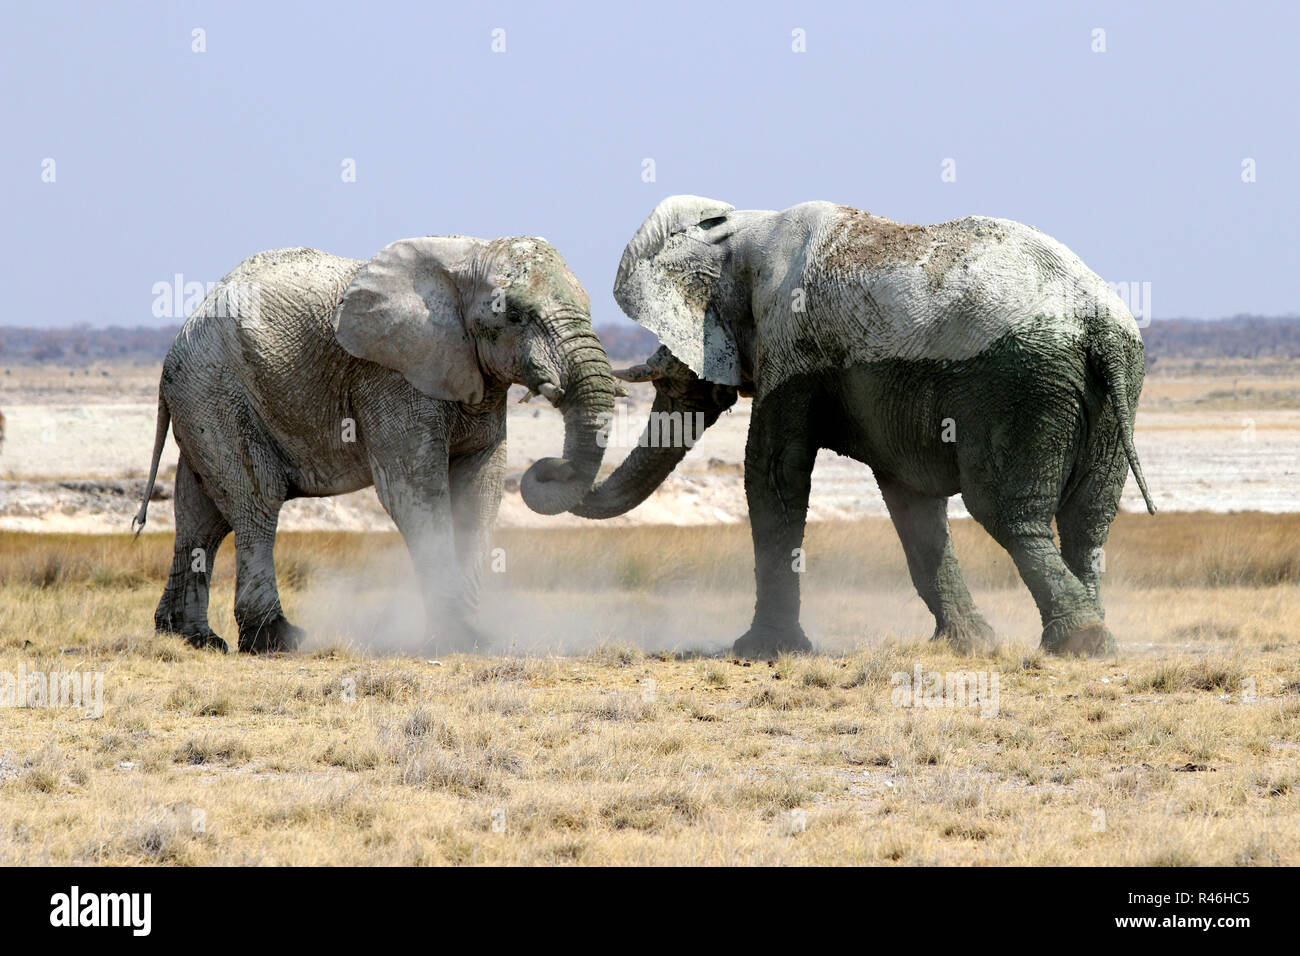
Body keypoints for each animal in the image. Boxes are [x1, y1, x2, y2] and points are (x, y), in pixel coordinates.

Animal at [134, 236, 616, 654]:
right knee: (255, 502)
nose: (549, 465)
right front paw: (455, 635)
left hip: (200, 399)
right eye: (514, 315)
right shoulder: (390, 377)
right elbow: (414, 490)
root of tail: (177, 341)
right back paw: (277, 640)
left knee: (201, 516)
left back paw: (192, 639)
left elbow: (481, 489)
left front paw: (474, 633)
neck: (466, 260)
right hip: (217, 392)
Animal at [569, 196, 1155, 659]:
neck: (745, 229)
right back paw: (1091, 637)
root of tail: (1099, 324)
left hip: (1022, 384)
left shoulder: (790, 343)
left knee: (1008, 513)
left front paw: (763, 651)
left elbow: (772, 474)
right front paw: (967, 645)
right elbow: (911, 502)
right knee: (1088, 520)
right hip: (1110, 387)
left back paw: (1081, 644)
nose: (546, 471)